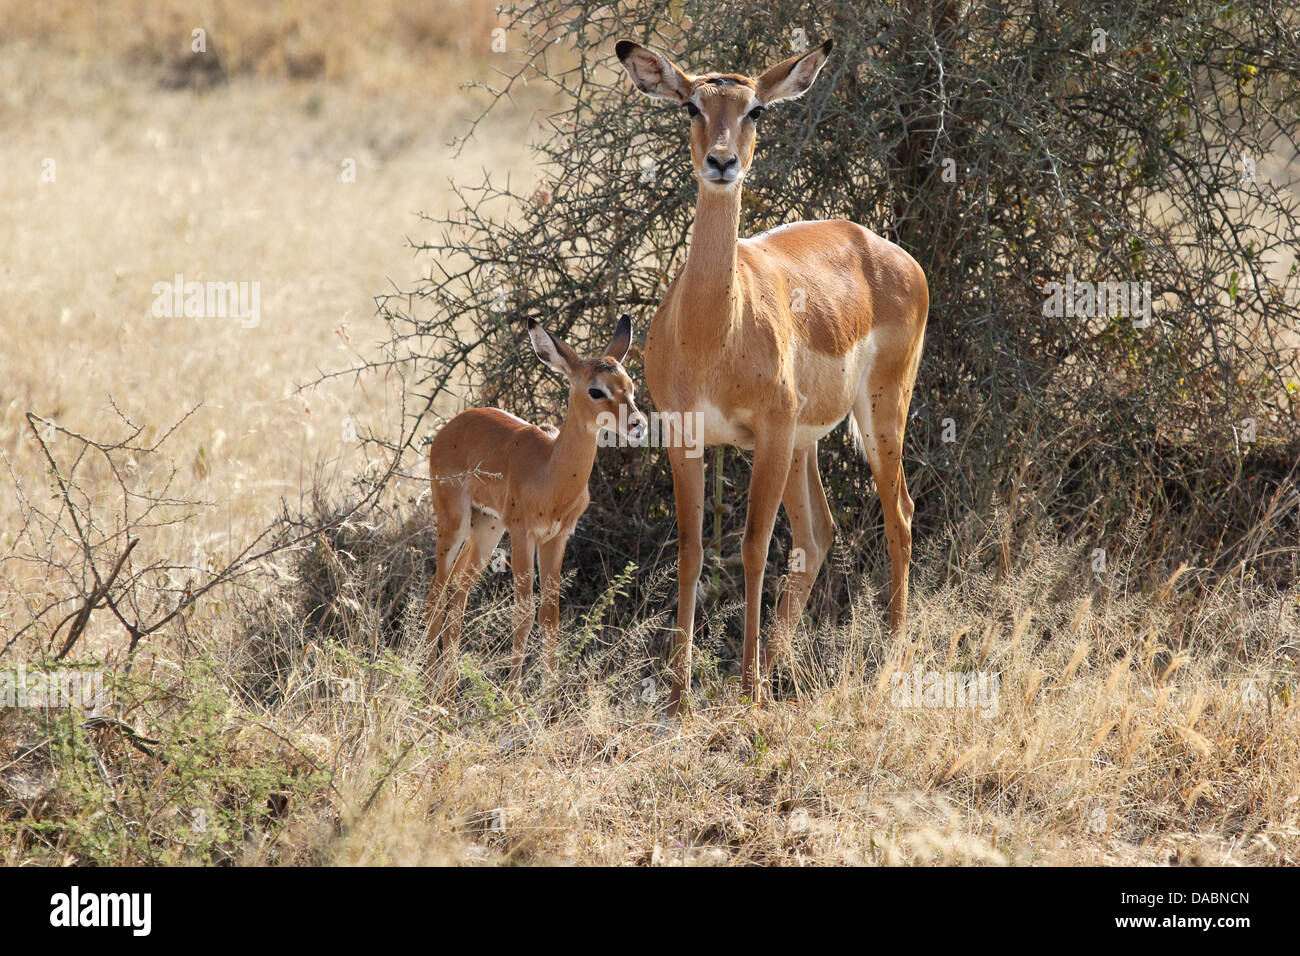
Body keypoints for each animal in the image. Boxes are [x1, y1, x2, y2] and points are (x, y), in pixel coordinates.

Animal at [424, 315, 647, 699]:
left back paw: (447, 689)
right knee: (438, 590)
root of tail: (449, 426)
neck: (551, 471)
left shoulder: (556, 539)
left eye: (629, 386)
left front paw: (549, 695)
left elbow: (549, 615)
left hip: (486, 529)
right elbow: (523, 613)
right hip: (455, 523)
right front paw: (512, 698)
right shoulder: (523, 535)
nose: (638, 424)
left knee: (458, 587)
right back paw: (422, 680)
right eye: (596, 390)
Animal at [615, 38, 929, 712]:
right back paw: (779, 664)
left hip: (875, 413)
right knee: (819, 532)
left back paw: (885, 661)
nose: (721, 162)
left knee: (899, 512)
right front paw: (679, 694)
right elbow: (692, 549)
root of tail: (885, 249)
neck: (713, 333)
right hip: (805, 443)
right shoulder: (685, 438)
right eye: (691, 104)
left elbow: (754, 546)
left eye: (755, 108)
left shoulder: (768, 435)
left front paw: (746, 690)